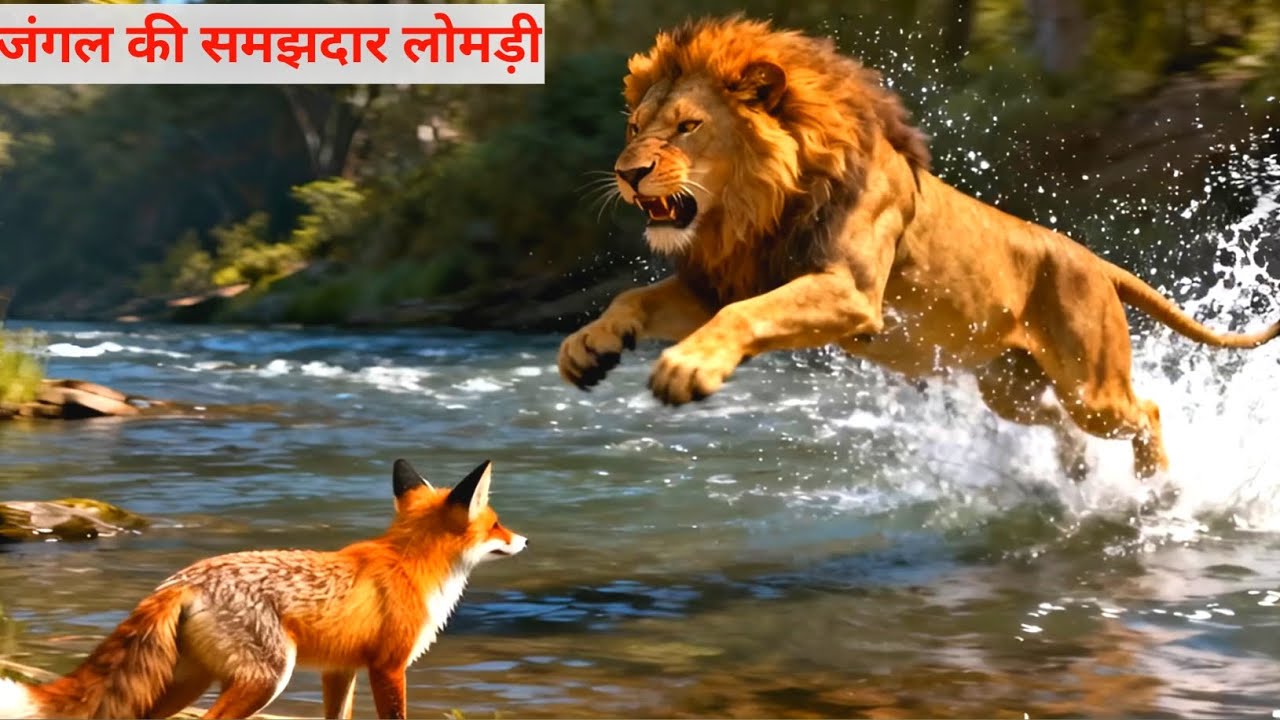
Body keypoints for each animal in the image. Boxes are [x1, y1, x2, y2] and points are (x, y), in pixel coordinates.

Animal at [0, 458, 527, 720]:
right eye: (498, 524)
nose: (524, 540)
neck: (412, 564)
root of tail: (182, 578)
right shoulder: (388, 667)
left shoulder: (340, 670)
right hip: (266, 678)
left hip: (185, 685)